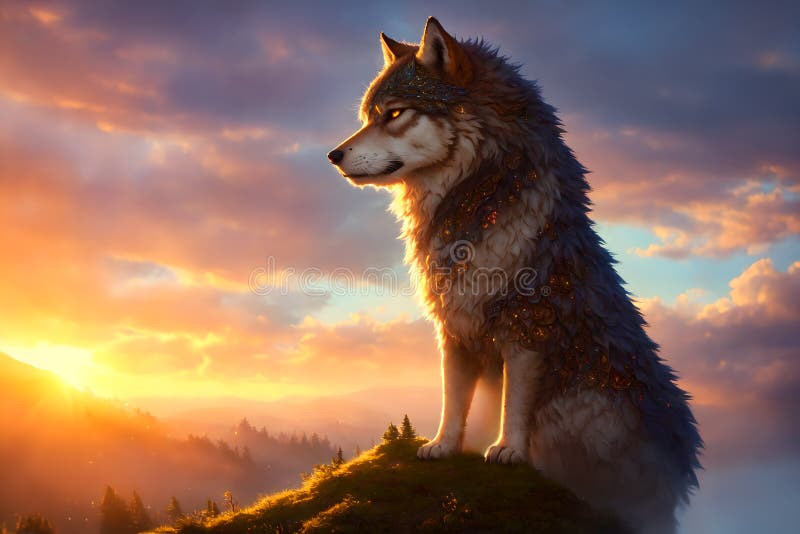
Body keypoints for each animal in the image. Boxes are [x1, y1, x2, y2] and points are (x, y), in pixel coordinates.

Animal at [327, 17, 701, 534]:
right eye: (367, 116)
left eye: (395, 113)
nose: (333, 155)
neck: (474, 199)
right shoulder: (454, 326)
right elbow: (455, 395)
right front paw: (445, 446)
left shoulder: (528, 323)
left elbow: (515, 399)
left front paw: (507, 450)